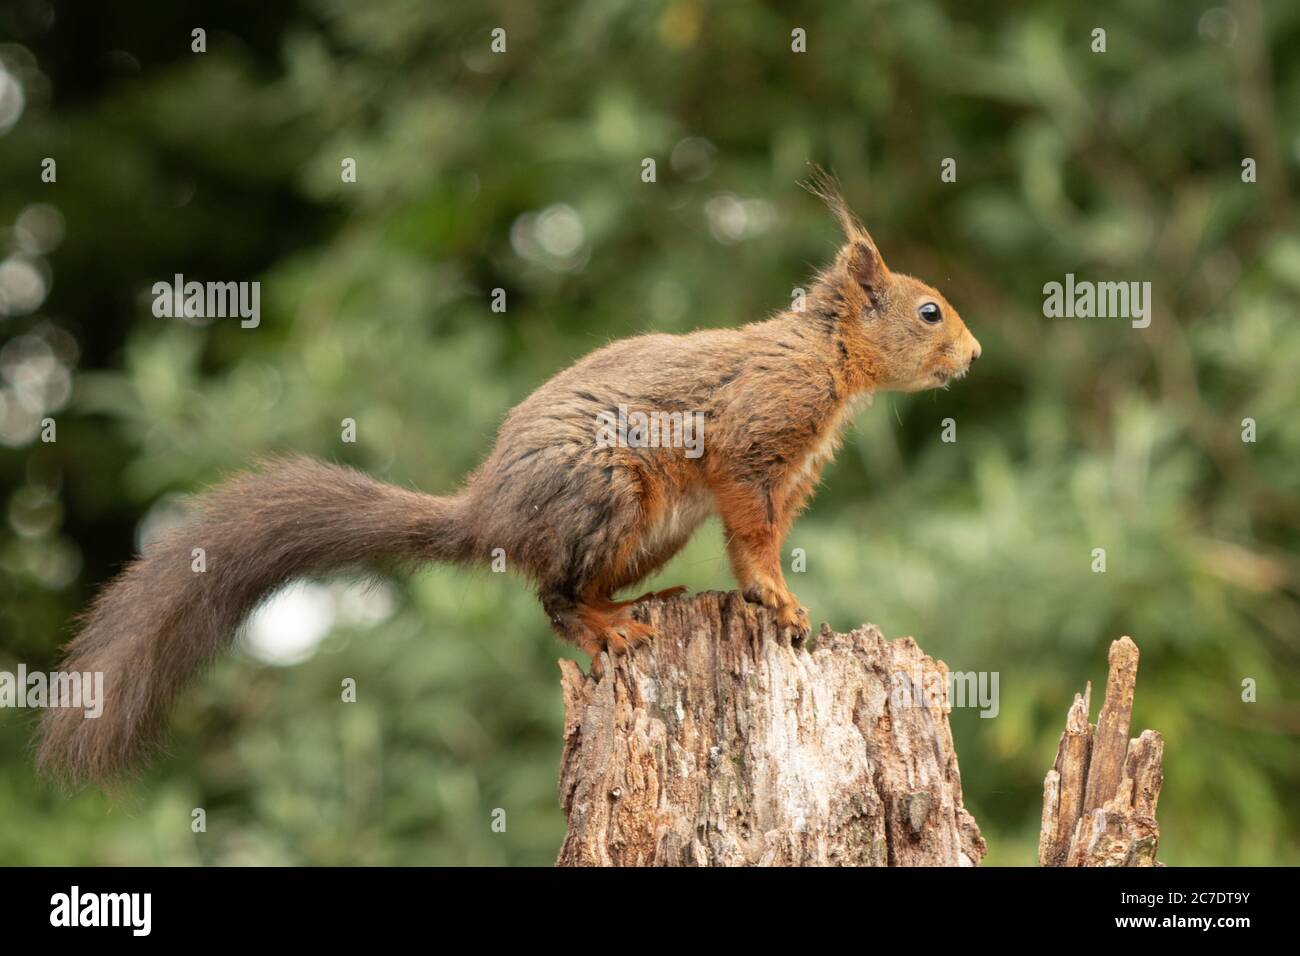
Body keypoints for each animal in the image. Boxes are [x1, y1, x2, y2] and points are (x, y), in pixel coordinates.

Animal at [36, 171, 980, 786]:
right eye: (929, 310)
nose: (973, 355)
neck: (826, 358)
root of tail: (486, 515)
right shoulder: (752, 442)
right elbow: (752, 536)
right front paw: (776, 599)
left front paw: (777, 596)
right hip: (608, 491)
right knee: (553, 599)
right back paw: (611, 630)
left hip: (649, 525)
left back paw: (640, 605)